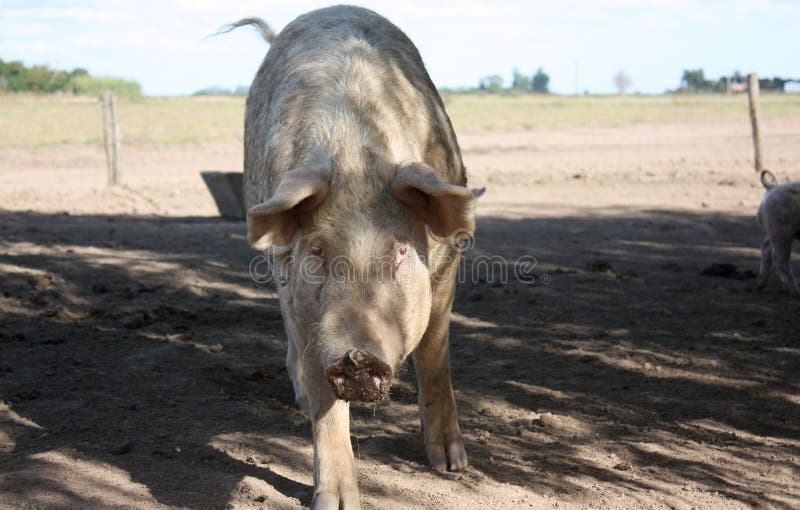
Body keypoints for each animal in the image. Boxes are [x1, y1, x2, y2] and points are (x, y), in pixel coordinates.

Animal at [230, 6, 475, 509]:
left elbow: (435, 358)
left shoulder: (446, 267)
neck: (355, 156)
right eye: (318, 249)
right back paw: (301, 399)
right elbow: (326, 403)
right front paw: (336, 503)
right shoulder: (305, 307)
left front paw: (452, 467)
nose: (358, 356)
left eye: (400, 250)